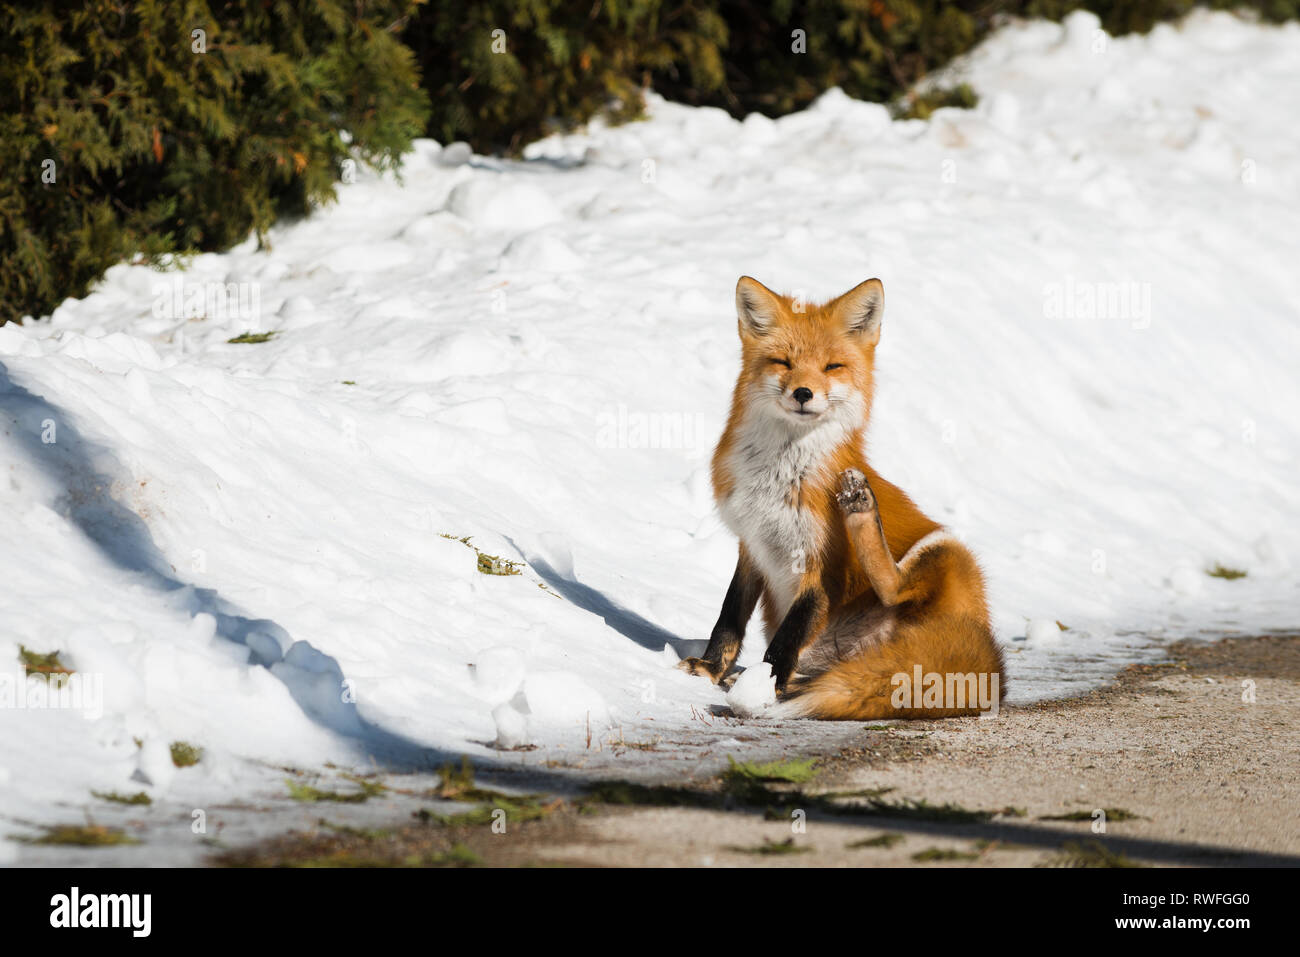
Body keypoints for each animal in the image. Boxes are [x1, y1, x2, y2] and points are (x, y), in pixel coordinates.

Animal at [677, 275, 1006, 719]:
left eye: (832, 367)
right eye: (783, 362)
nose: (803, 392)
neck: (778, 478)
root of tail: (991, 666)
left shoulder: (821, 564)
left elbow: (785, 639)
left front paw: (761, 689)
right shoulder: (752, 543)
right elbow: (730, 615)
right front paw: (711, 668)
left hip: (948, 552)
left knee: (894, 585)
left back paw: (861, 508)